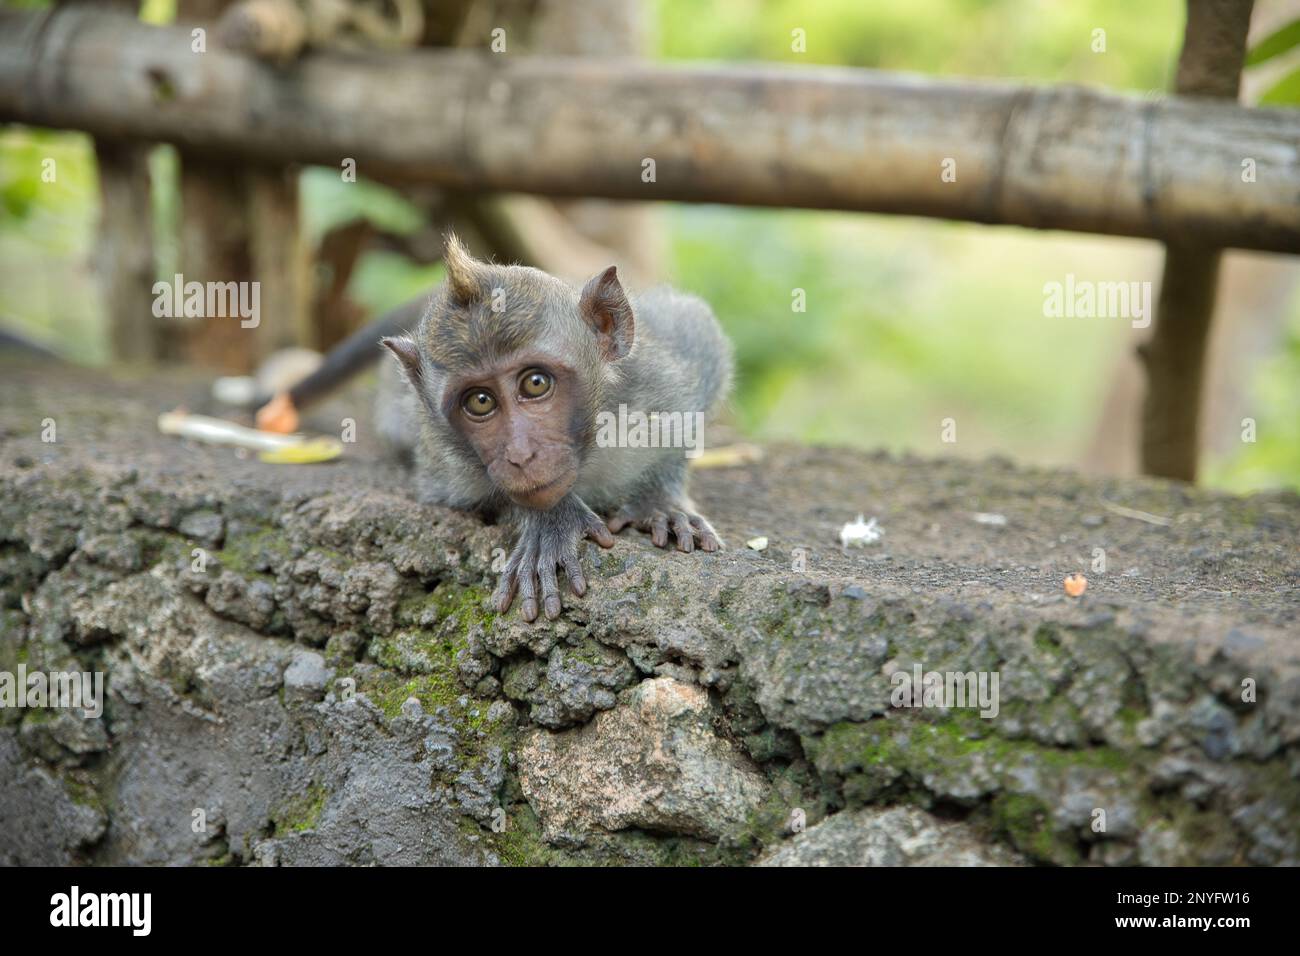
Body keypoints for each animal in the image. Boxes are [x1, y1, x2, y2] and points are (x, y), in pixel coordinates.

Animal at [262, 235, 733, 622]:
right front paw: (552, 519)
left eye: (535, 383)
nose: (520, 455)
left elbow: (700, 345)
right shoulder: (444, 459)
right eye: (480, 402)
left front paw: (658, 499)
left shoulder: (659, 376)